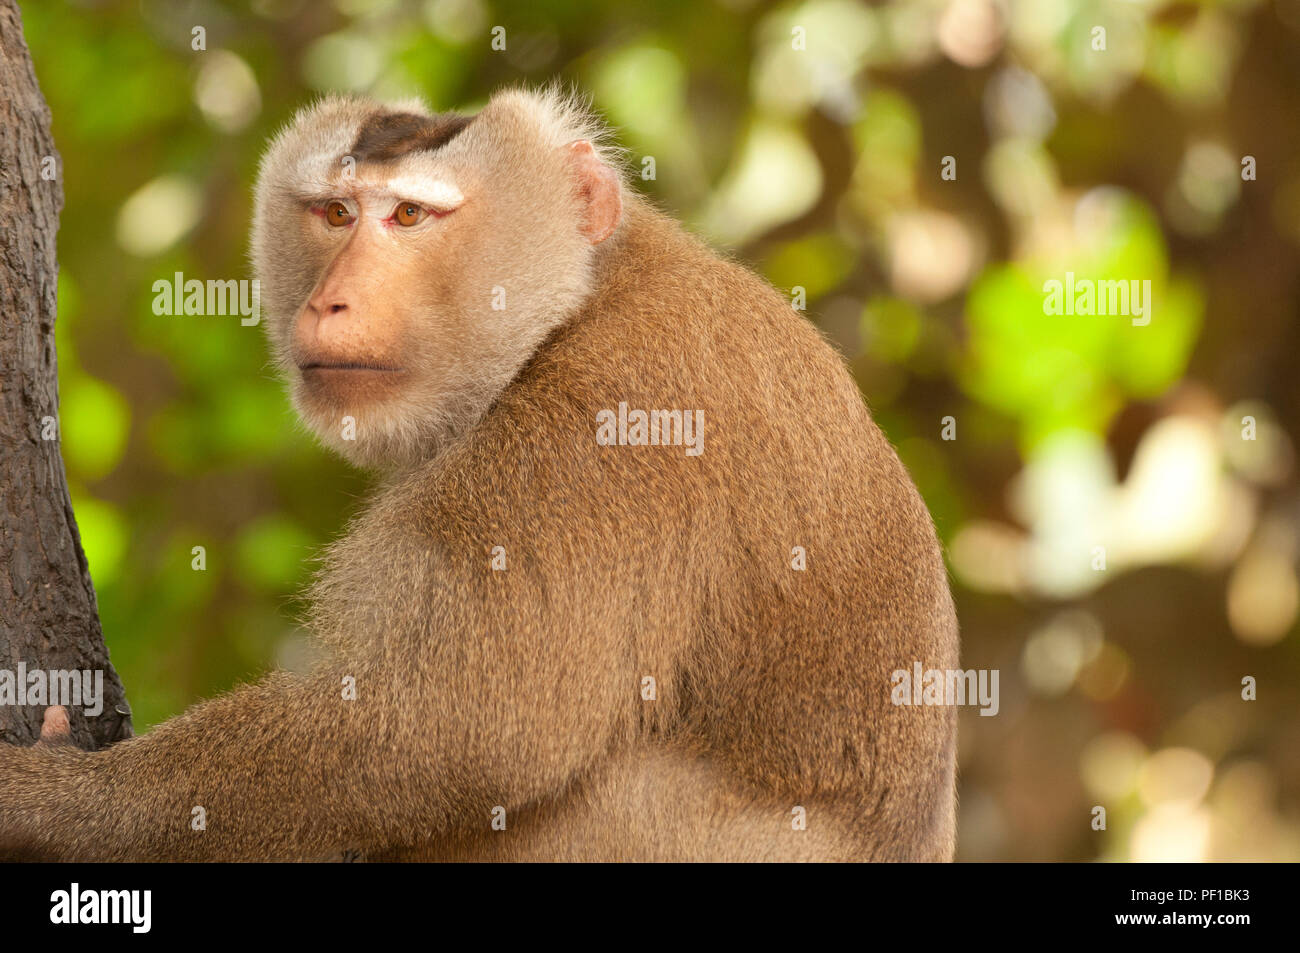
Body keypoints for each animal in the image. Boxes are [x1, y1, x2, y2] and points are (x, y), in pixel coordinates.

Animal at [0, 86, 958, 862]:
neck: (578, 299)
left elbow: (454, 732)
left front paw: (55, 805)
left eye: (410, 218)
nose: (331, 300)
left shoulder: (606, 434)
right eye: (336, 212)